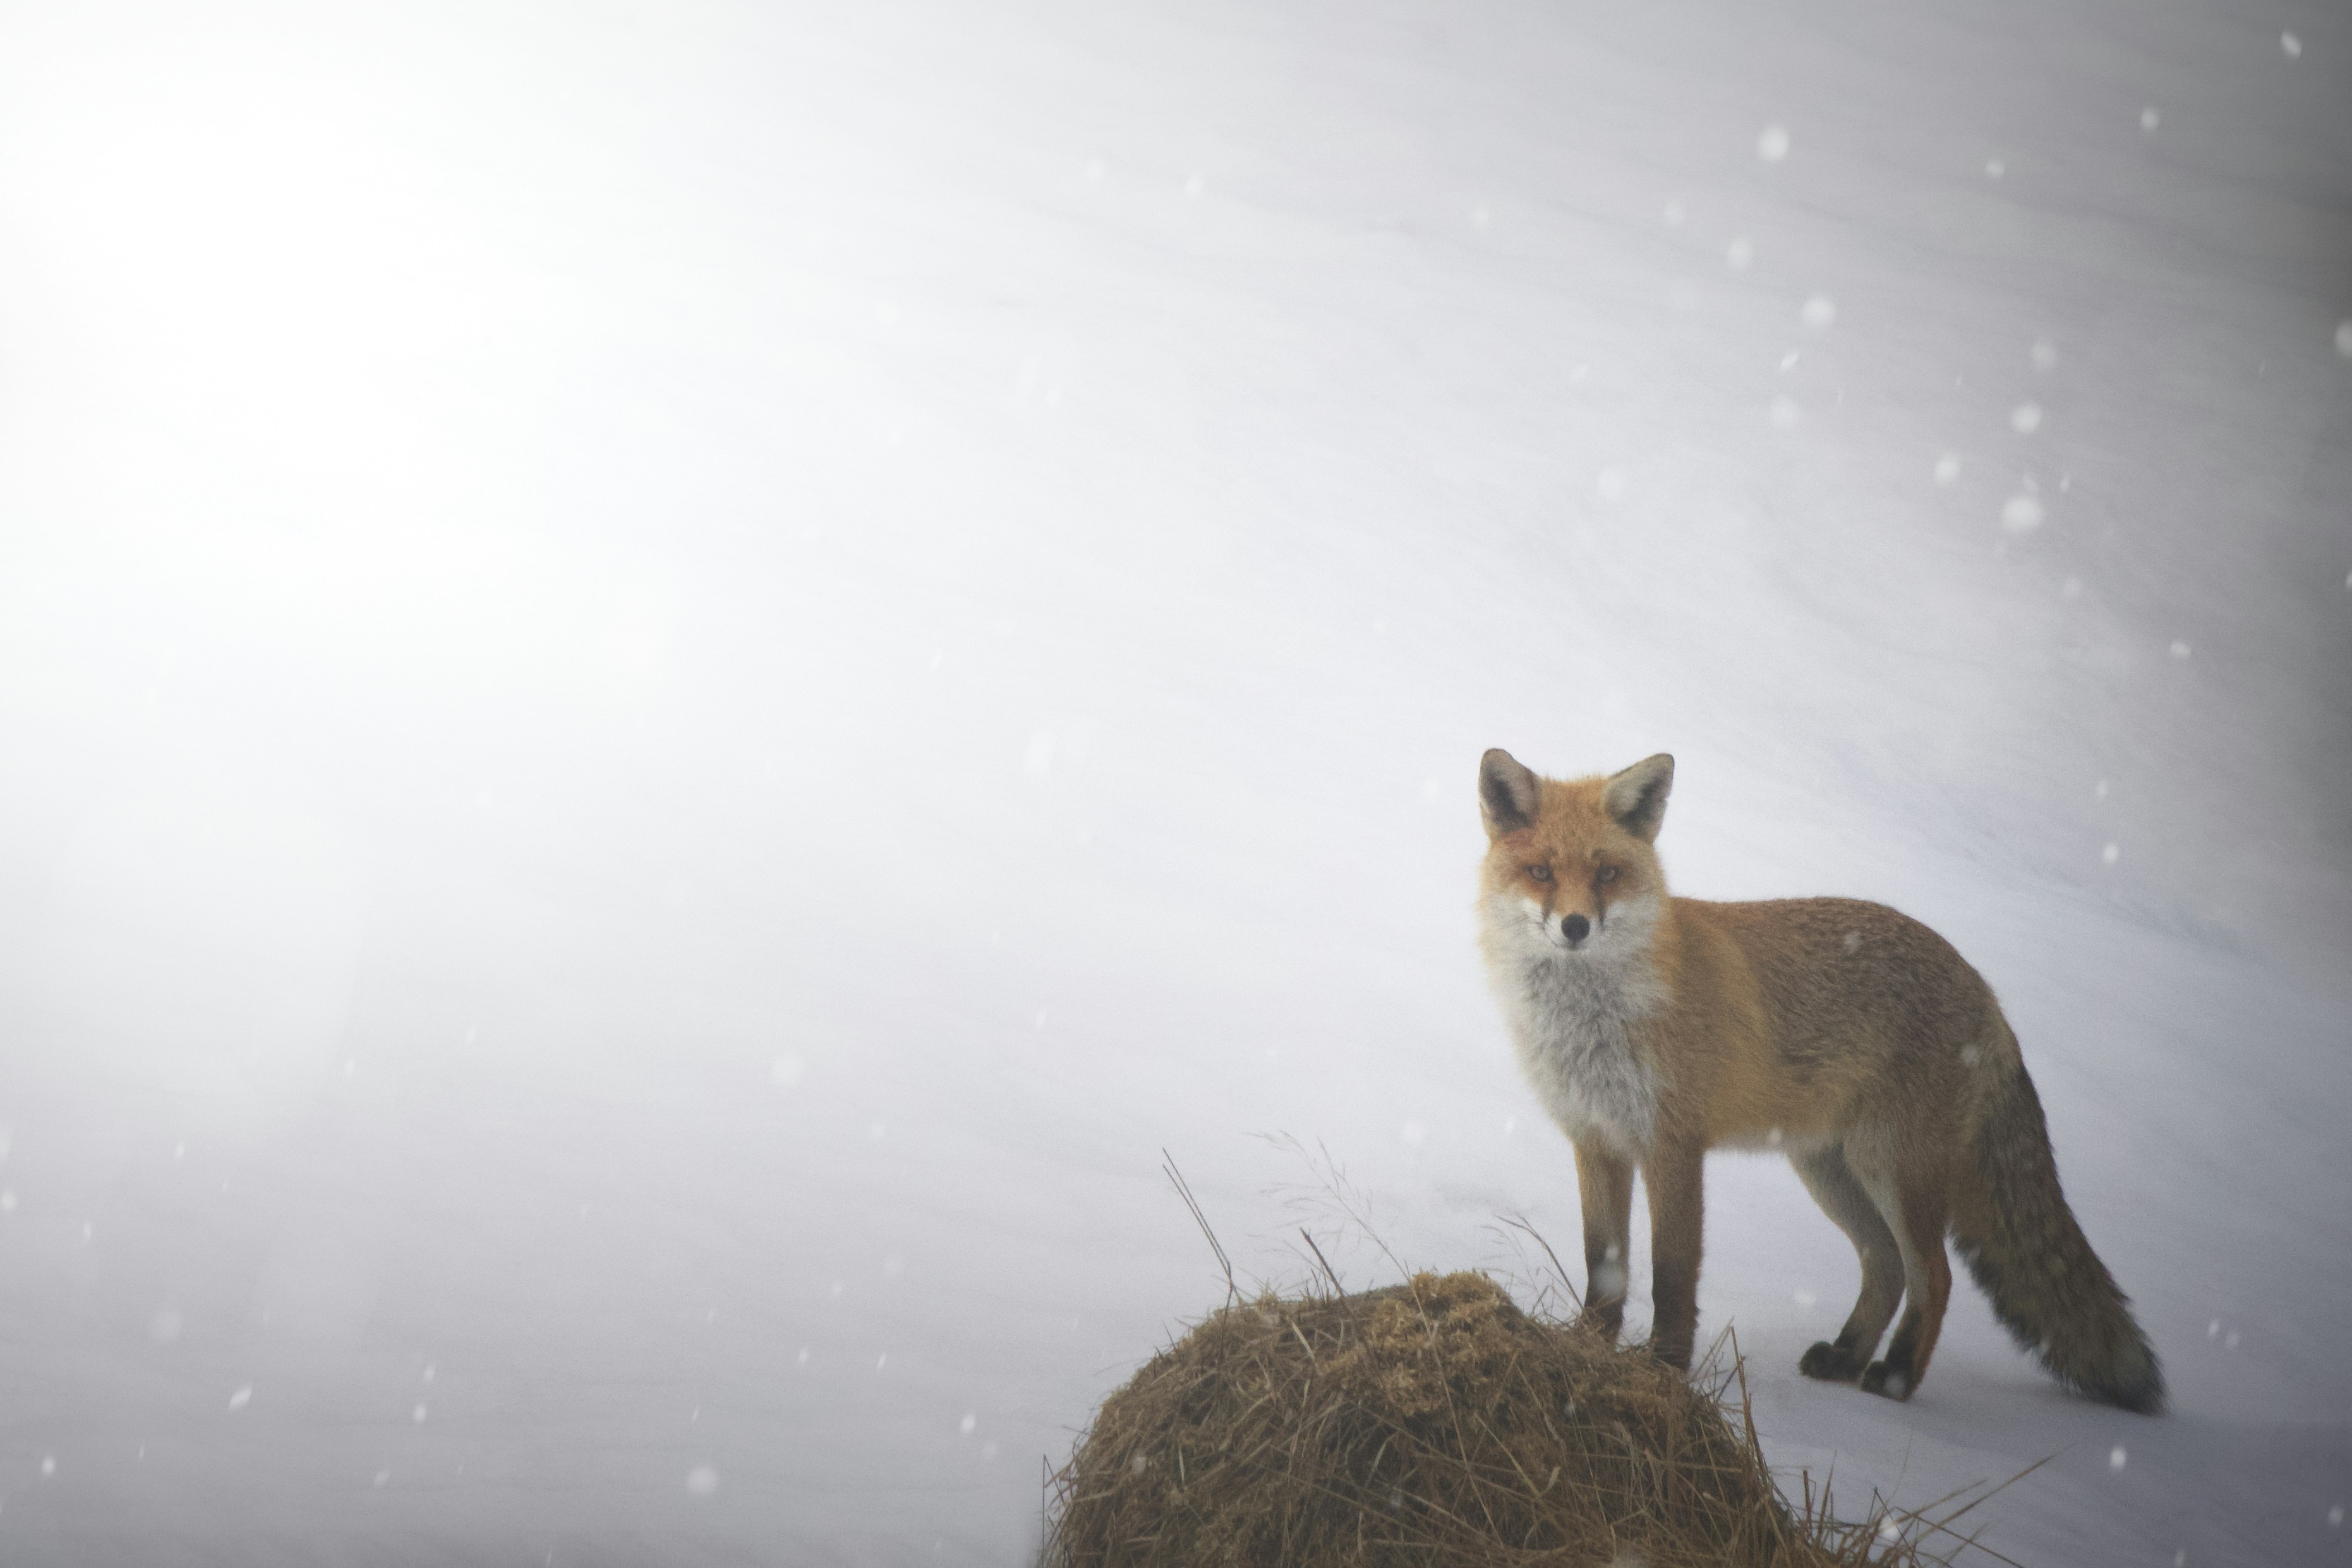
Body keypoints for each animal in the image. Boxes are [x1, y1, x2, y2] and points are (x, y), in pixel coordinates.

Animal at [1476, 747, 2163, 1411]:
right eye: (1541, 872)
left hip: (1893, 1169)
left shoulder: (1673, 1144)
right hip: (1830, 1170)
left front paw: (1664, 1369)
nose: (1575, 926)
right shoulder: (1596, 1141)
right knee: (1886, 1267)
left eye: (1606, 874)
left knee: (1934, 1276)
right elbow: (1603, 1264)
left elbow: (1672, 1272)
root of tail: (1987, 993)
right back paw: (1845, 1355)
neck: (1593, 1022)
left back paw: (1894, 1378)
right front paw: (1586, 1347)